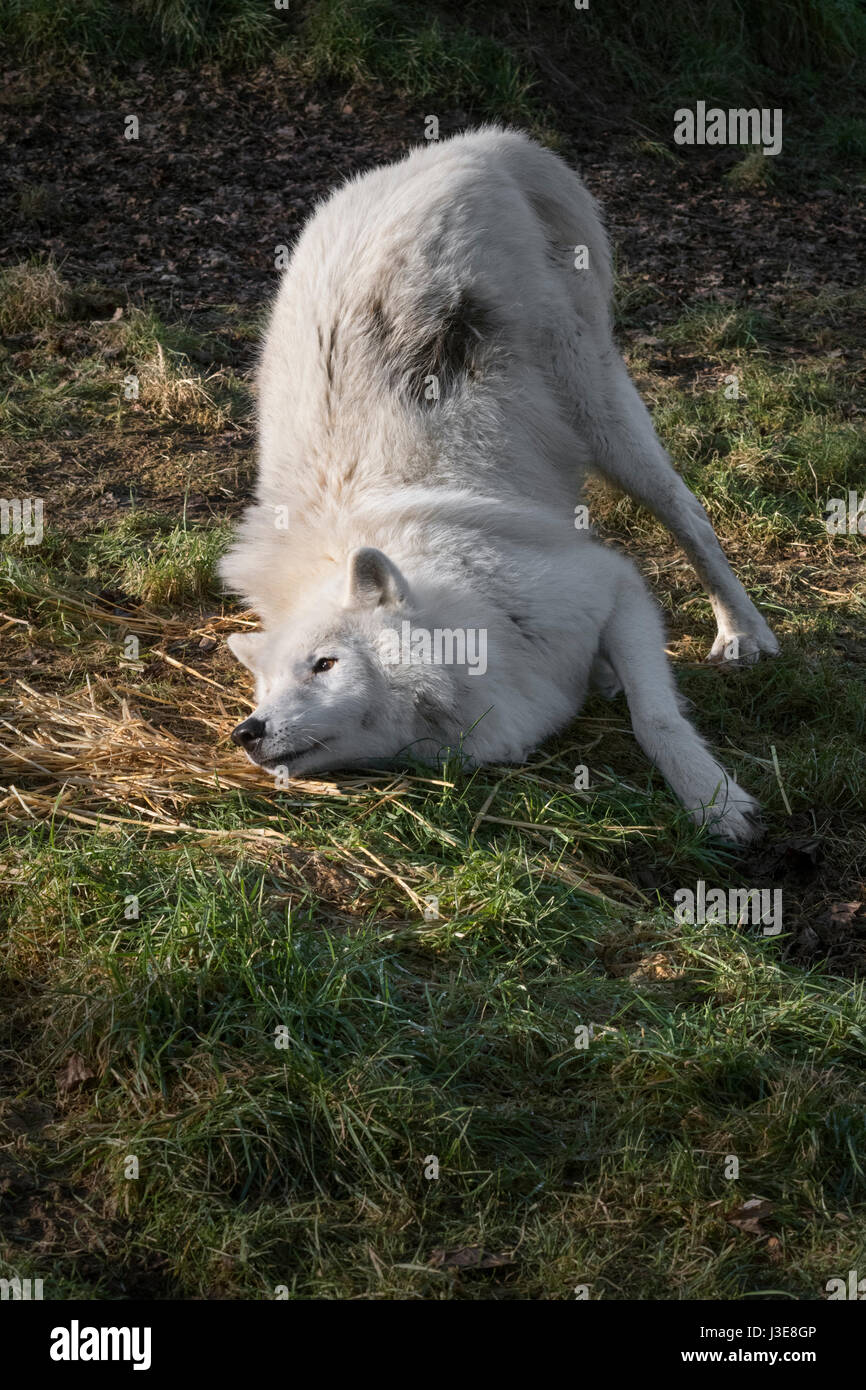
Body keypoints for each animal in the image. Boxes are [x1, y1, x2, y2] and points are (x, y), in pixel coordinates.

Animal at [221, 128, 778, 842]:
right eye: (262, 688)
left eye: (325, 664)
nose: (246, 731)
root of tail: (471, 147)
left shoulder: (610, 584)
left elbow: (655, 720)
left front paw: (715, 801)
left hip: (603, 415)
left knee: (687, 510)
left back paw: (742, 633)